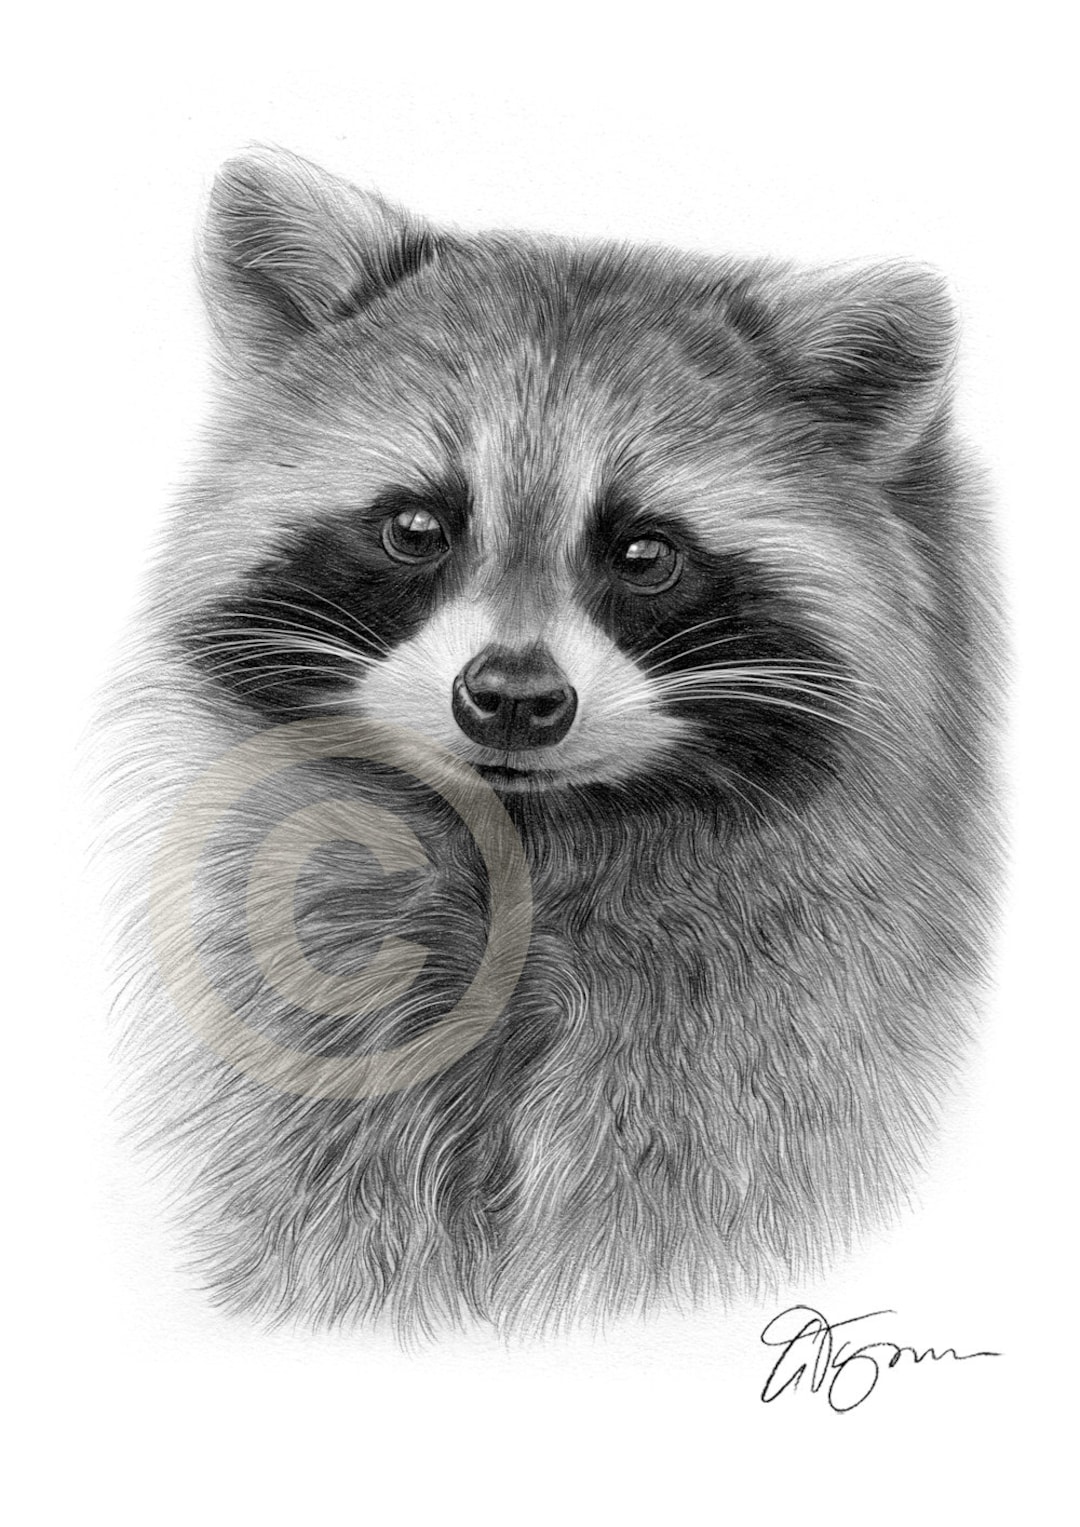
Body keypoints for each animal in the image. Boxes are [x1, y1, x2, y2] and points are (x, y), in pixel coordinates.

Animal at [99, 147, 1003, 1336]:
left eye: (646, 552)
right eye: (419, 525)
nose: (513, 700)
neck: (527, 832)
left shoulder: (767, 1026)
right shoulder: (308, 997)